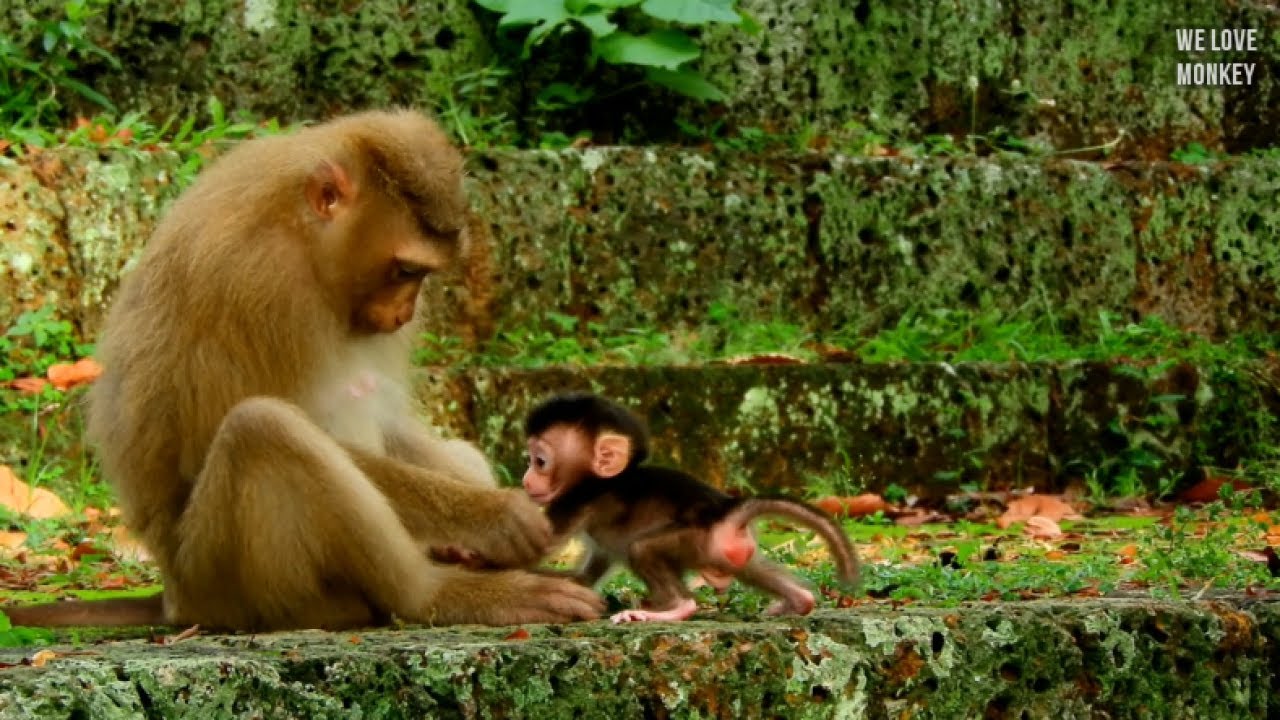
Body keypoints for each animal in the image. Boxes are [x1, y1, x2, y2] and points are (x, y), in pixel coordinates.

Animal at [3, 109, 603, 631]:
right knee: (263, 429)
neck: (301, 230)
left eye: (420, 277)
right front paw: (492, 517)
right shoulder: (259, 280)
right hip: (222, 580)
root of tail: (174, 597)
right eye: (405, 270)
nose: (405, 312)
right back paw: (444, 594)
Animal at [520, 392, 860, 624]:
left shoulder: (577, 498)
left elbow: (538, 544)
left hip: (696, 538)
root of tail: (725, 510)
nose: (525, 480)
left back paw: (674, 608)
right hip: (728, 549)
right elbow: (593, 567)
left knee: (643, 549)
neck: (599, 479)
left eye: (540, 462)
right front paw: (569, 586)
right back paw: (800, 601)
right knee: (753, 569)